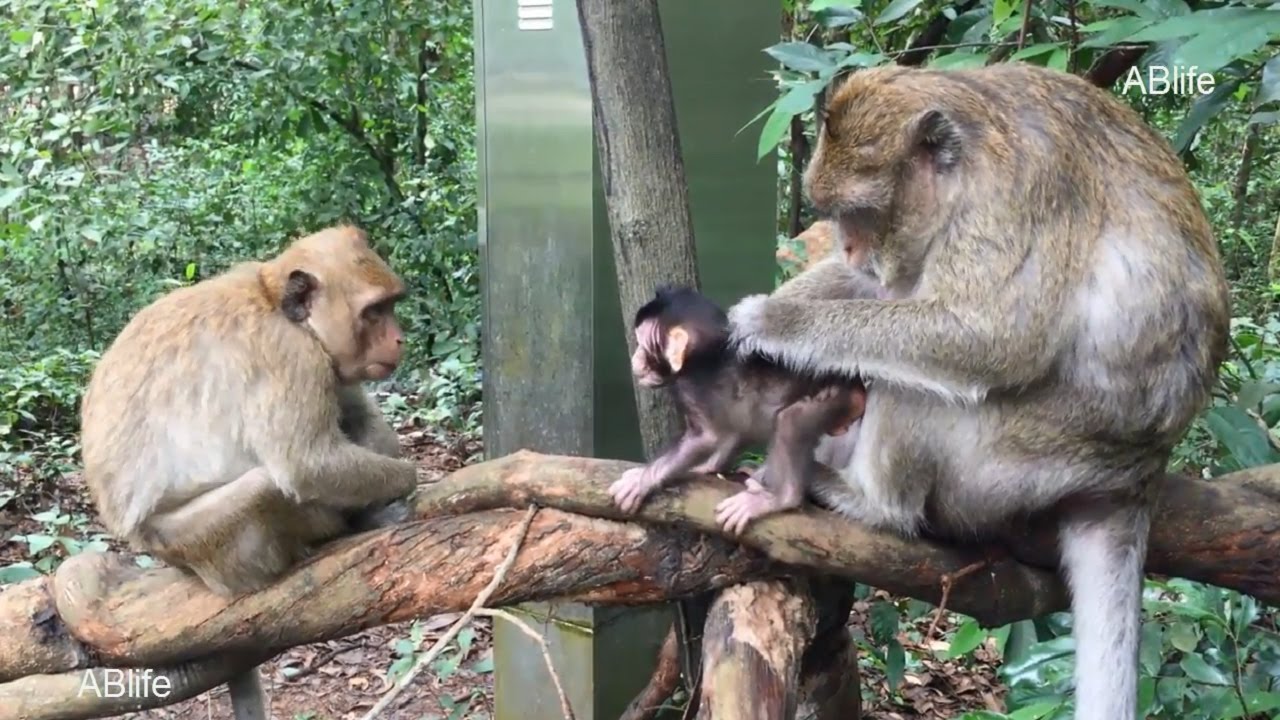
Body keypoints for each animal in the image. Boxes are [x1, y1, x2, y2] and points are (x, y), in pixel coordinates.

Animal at [79, 224, 419, 720]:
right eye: (375, 312)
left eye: (392, 306)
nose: (399, 339)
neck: (275, 302)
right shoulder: (291, 356)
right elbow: (305, 465)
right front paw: (408, 481)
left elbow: (356, 416)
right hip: (205, 543)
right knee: (265, 487)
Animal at [610, 284, 866, 534]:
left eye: (643, 346)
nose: (635, 360)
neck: (706, 353)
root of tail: (857, 386)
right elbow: (734, 431)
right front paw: (705, 467)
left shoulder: (691, 385)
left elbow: (706, 437)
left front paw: (642, 481)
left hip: (835, 398)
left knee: (791, 421)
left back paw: (781, 498)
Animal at [722, 63, 1231, 720]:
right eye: (834, 215)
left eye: (860, 214)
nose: (851, 248)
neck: (967, 154)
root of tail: (1138, 475)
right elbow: (886, 292)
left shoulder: (1013, 197)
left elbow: (993, 337)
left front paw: (774, 324)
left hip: (1019, 461)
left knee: (923, 387)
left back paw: (870, 501)